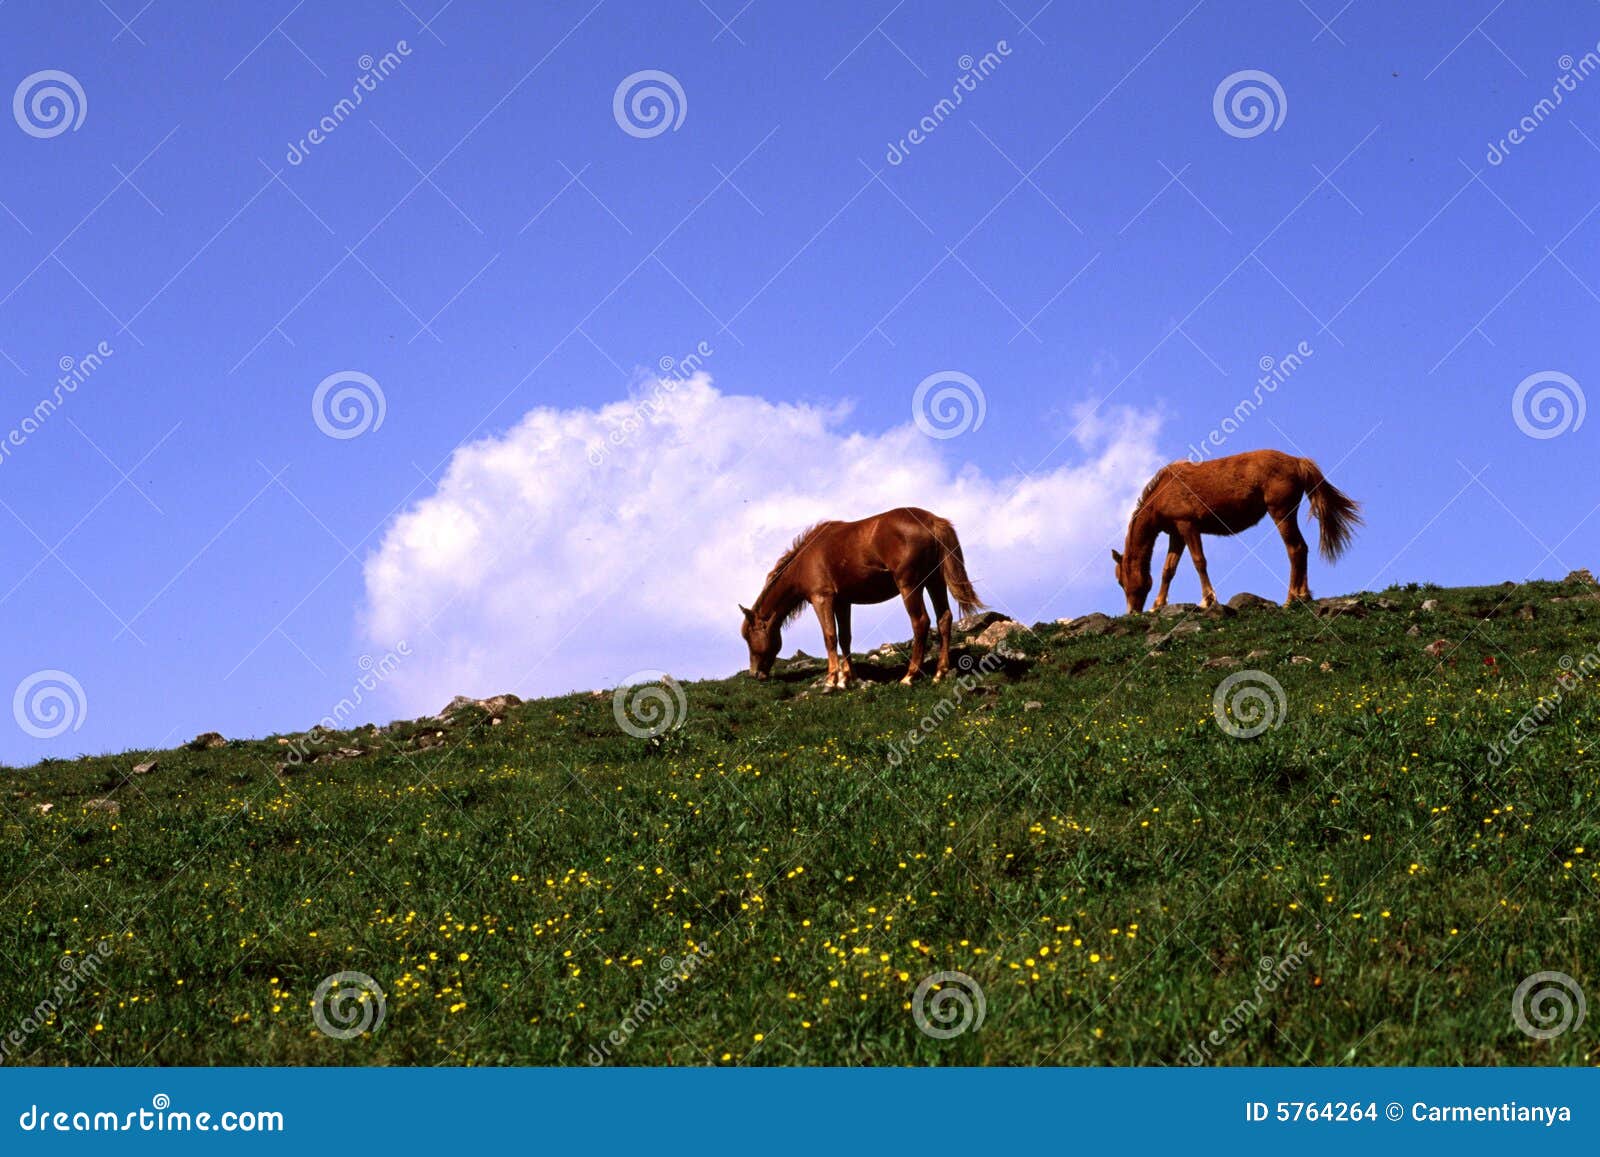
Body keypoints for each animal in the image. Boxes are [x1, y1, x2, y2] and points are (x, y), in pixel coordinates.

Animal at [741, 507, 984, 688]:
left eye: (750, 638)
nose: (755, 674)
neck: (805, 560)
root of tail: (933, 521)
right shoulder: (843, 602)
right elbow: (845, 638)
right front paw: (847, 679)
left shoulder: (822, 599)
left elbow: (830, 637)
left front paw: (831, 681)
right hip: (935, 582)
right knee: (944, 618)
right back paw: (939, 673)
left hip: (910, 586)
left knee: (921, 622)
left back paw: (909, 676)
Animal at [1112, 448, 1362, 612]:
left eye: (1121, 580)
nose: (1132, 612)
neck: (1165, 491)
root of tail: (1297, 462)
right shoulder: (1177, 533)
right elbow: (1168, 570)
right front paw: (1158, 605)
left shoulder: (1188, 526)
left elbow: (1199, 562)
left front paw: (1208, 600)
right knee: (1302, 548)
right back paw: (1304, 595)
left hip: (1281, 513)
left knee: (1296, 549)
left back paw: (1291, 598)